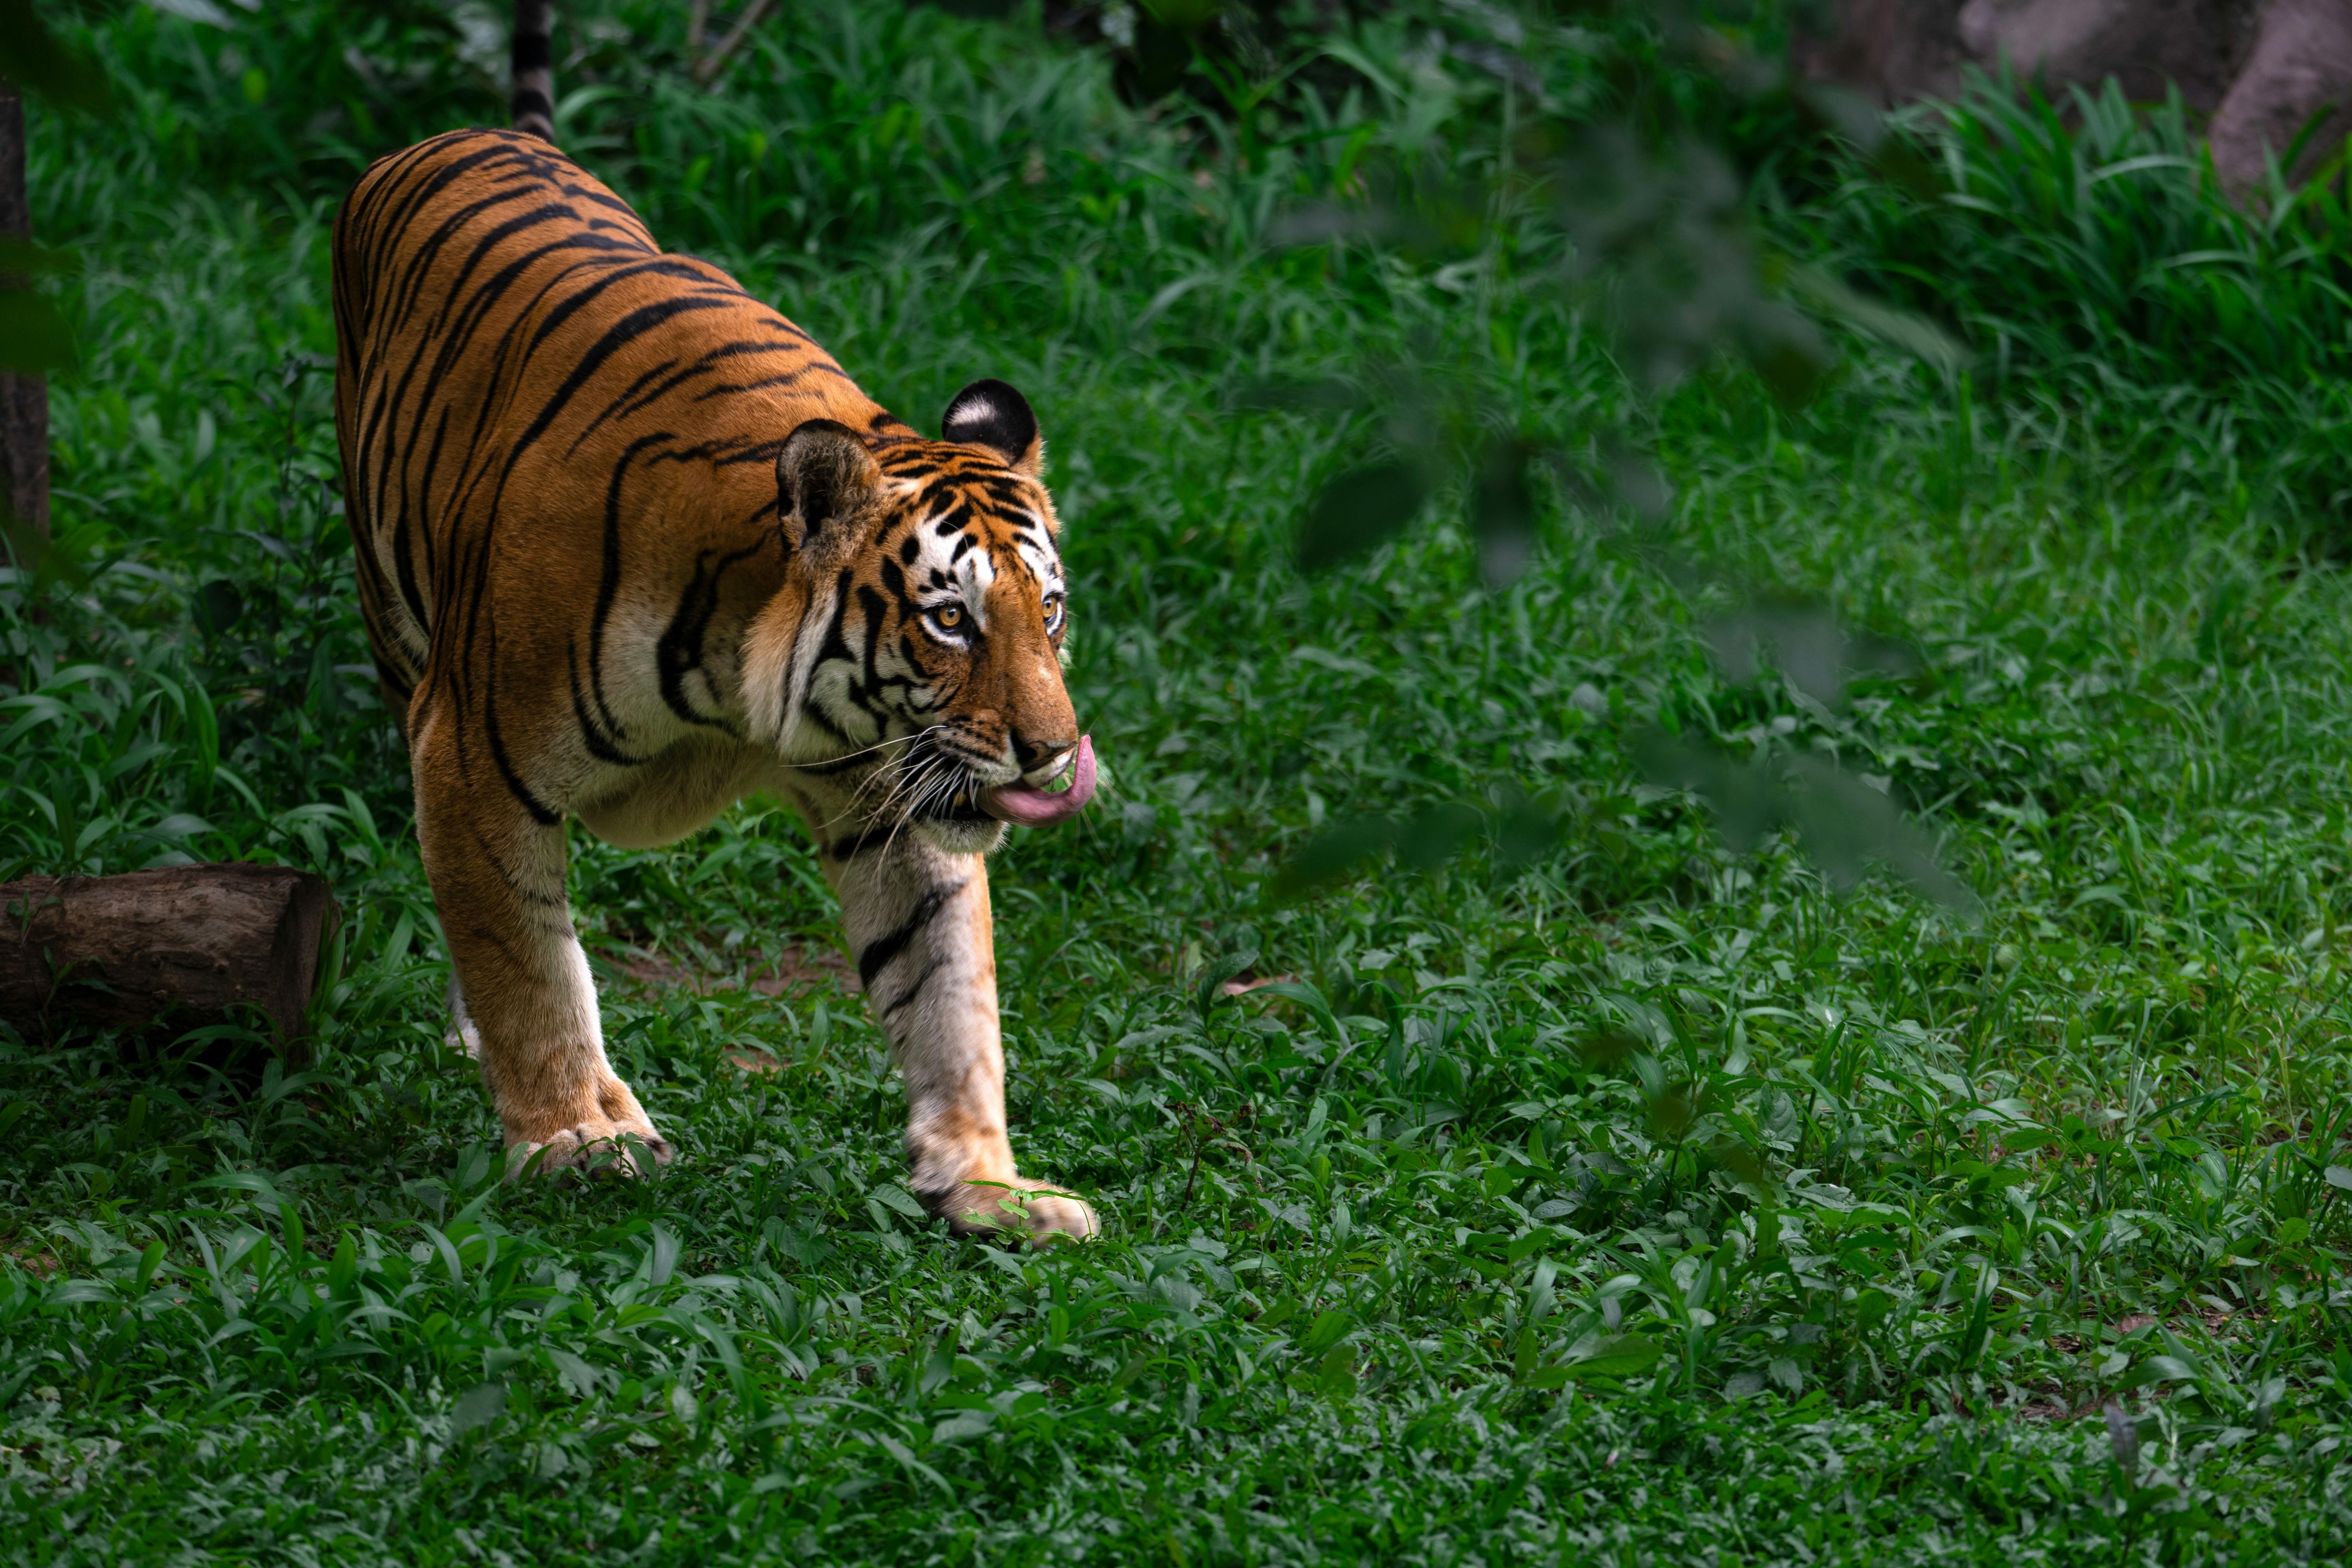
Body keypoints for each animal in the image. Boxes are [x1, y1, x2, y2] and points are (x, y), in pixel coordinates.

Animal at [329, 2, 1100, 1241]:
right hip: (396, 622)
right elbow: (521, 956)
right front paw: (571, 1138)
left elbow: (947, 992)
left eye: (1053, 612)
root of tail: (477, 135)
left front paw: (987, 1185)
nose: (1052, 753)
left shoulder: (891, 798)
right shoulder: (469, 753)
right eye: (949, 620)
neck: (747, 692)